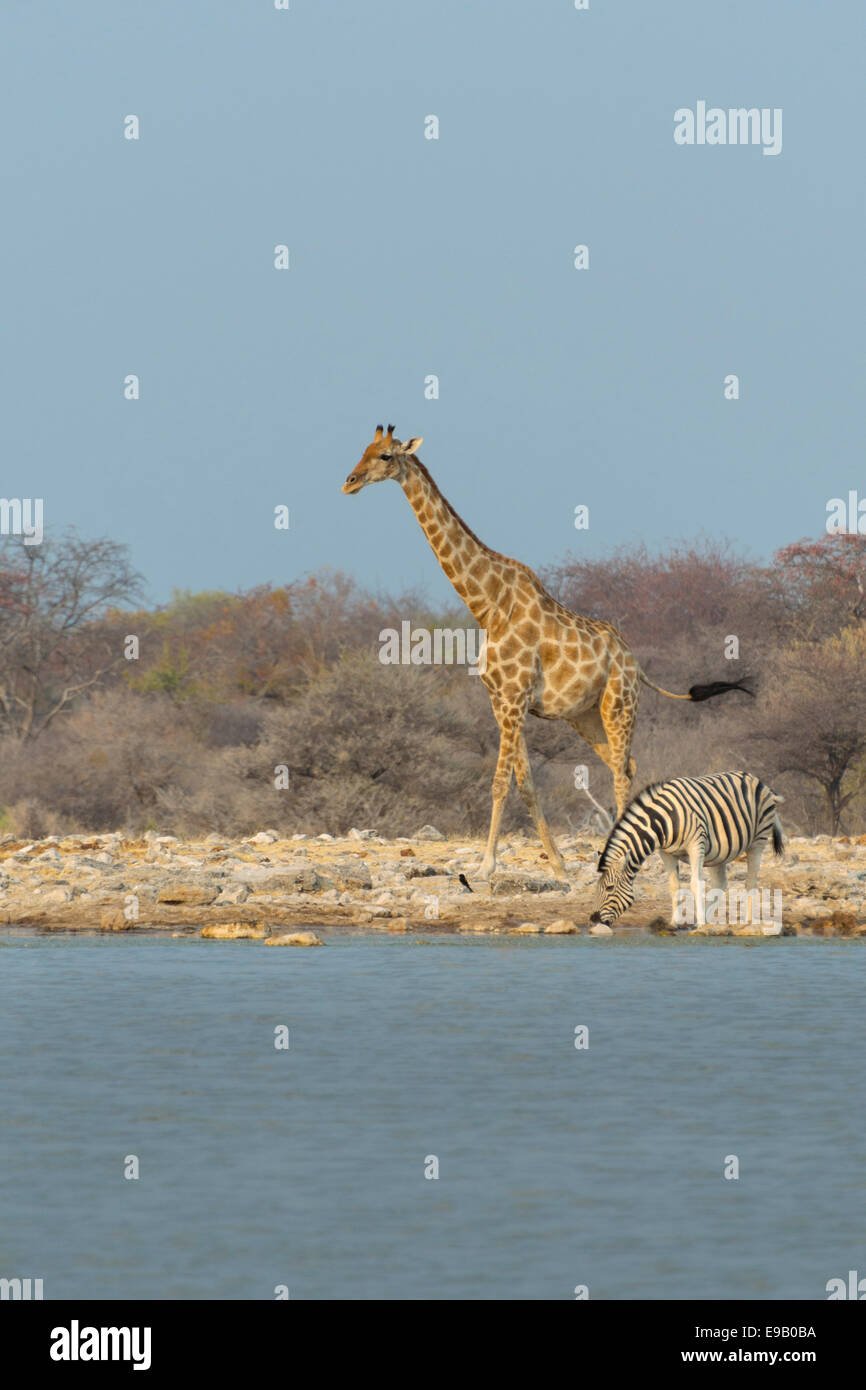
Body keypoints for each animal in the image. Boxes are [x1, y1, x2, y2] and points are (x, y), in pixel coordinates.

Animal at [342, 427, 752, 880]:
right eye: (362, 449)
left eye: (384, 456)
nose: (349, 482)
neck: (488, 605)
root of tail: (635, 663)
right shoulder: (501, 700)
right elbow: (525, 783)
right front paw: (556, 865)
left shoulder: (514, 697)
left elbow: (500, 782)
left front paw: (485, 865)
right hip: (585, 716)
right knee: (624, 765)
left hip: (619, 704)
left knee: (622, 772)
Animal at [589, 771, 784, 929]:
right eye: (597, 888)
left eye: (609, 888)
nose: (594, 920)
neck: (663, 820)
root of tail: (757, 780)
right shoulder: (666, 853)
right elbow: (674, 886)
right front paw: (675, 922)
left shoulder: (696, 844)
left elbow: (695, 884)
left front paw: (700, 924)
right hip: (720, 852)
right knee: (720, 884)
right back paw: (707, 917)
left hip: (758, 841)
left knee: (750, 882)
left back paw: (748, 921)